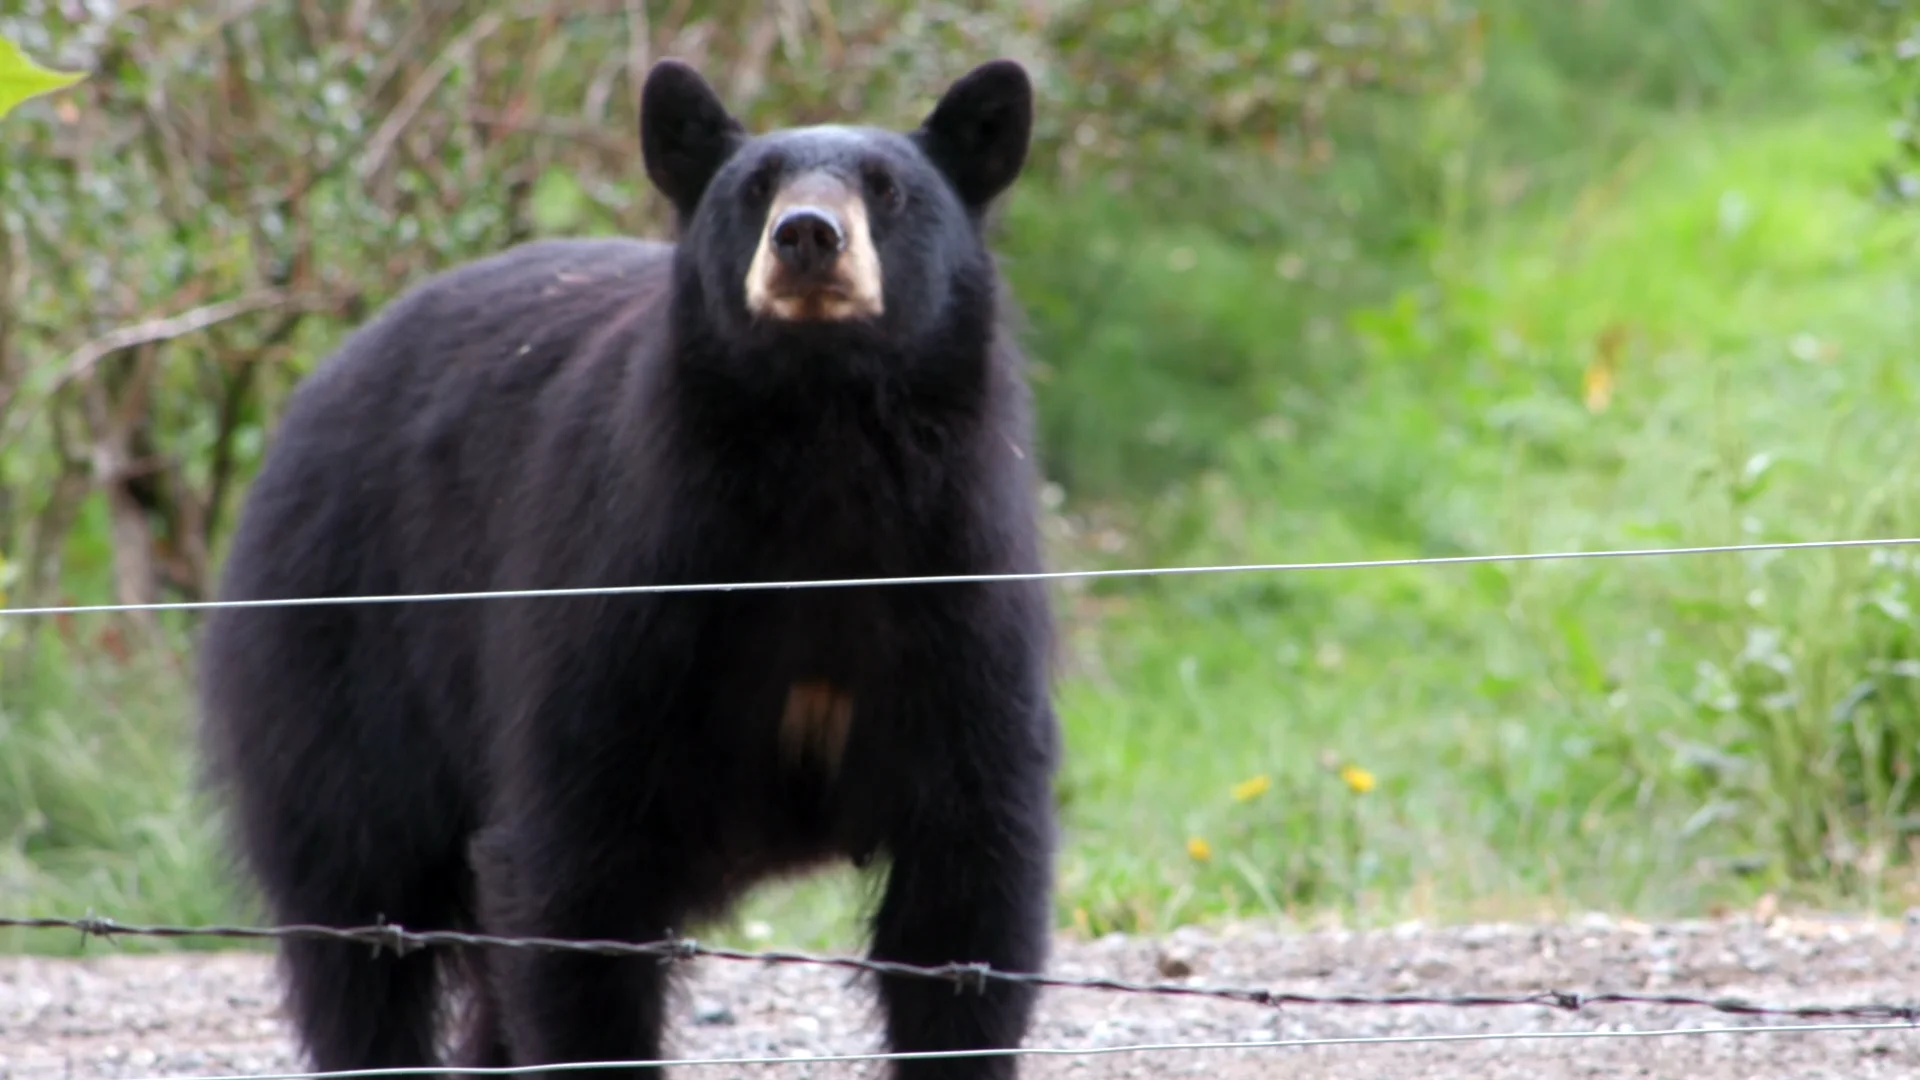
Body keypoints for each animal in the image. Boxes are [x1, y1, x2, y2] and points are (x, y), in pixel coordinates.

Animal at [198, 54, 1067, 1068]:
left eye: (888, 189)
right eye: (755, 188)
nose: (807, 236)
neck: (823, 446)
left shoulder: (960, 593)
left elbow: (965, 897)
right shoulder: (634, 585)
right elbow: (576, 873)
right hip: (338, 648)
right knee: (356, 908)